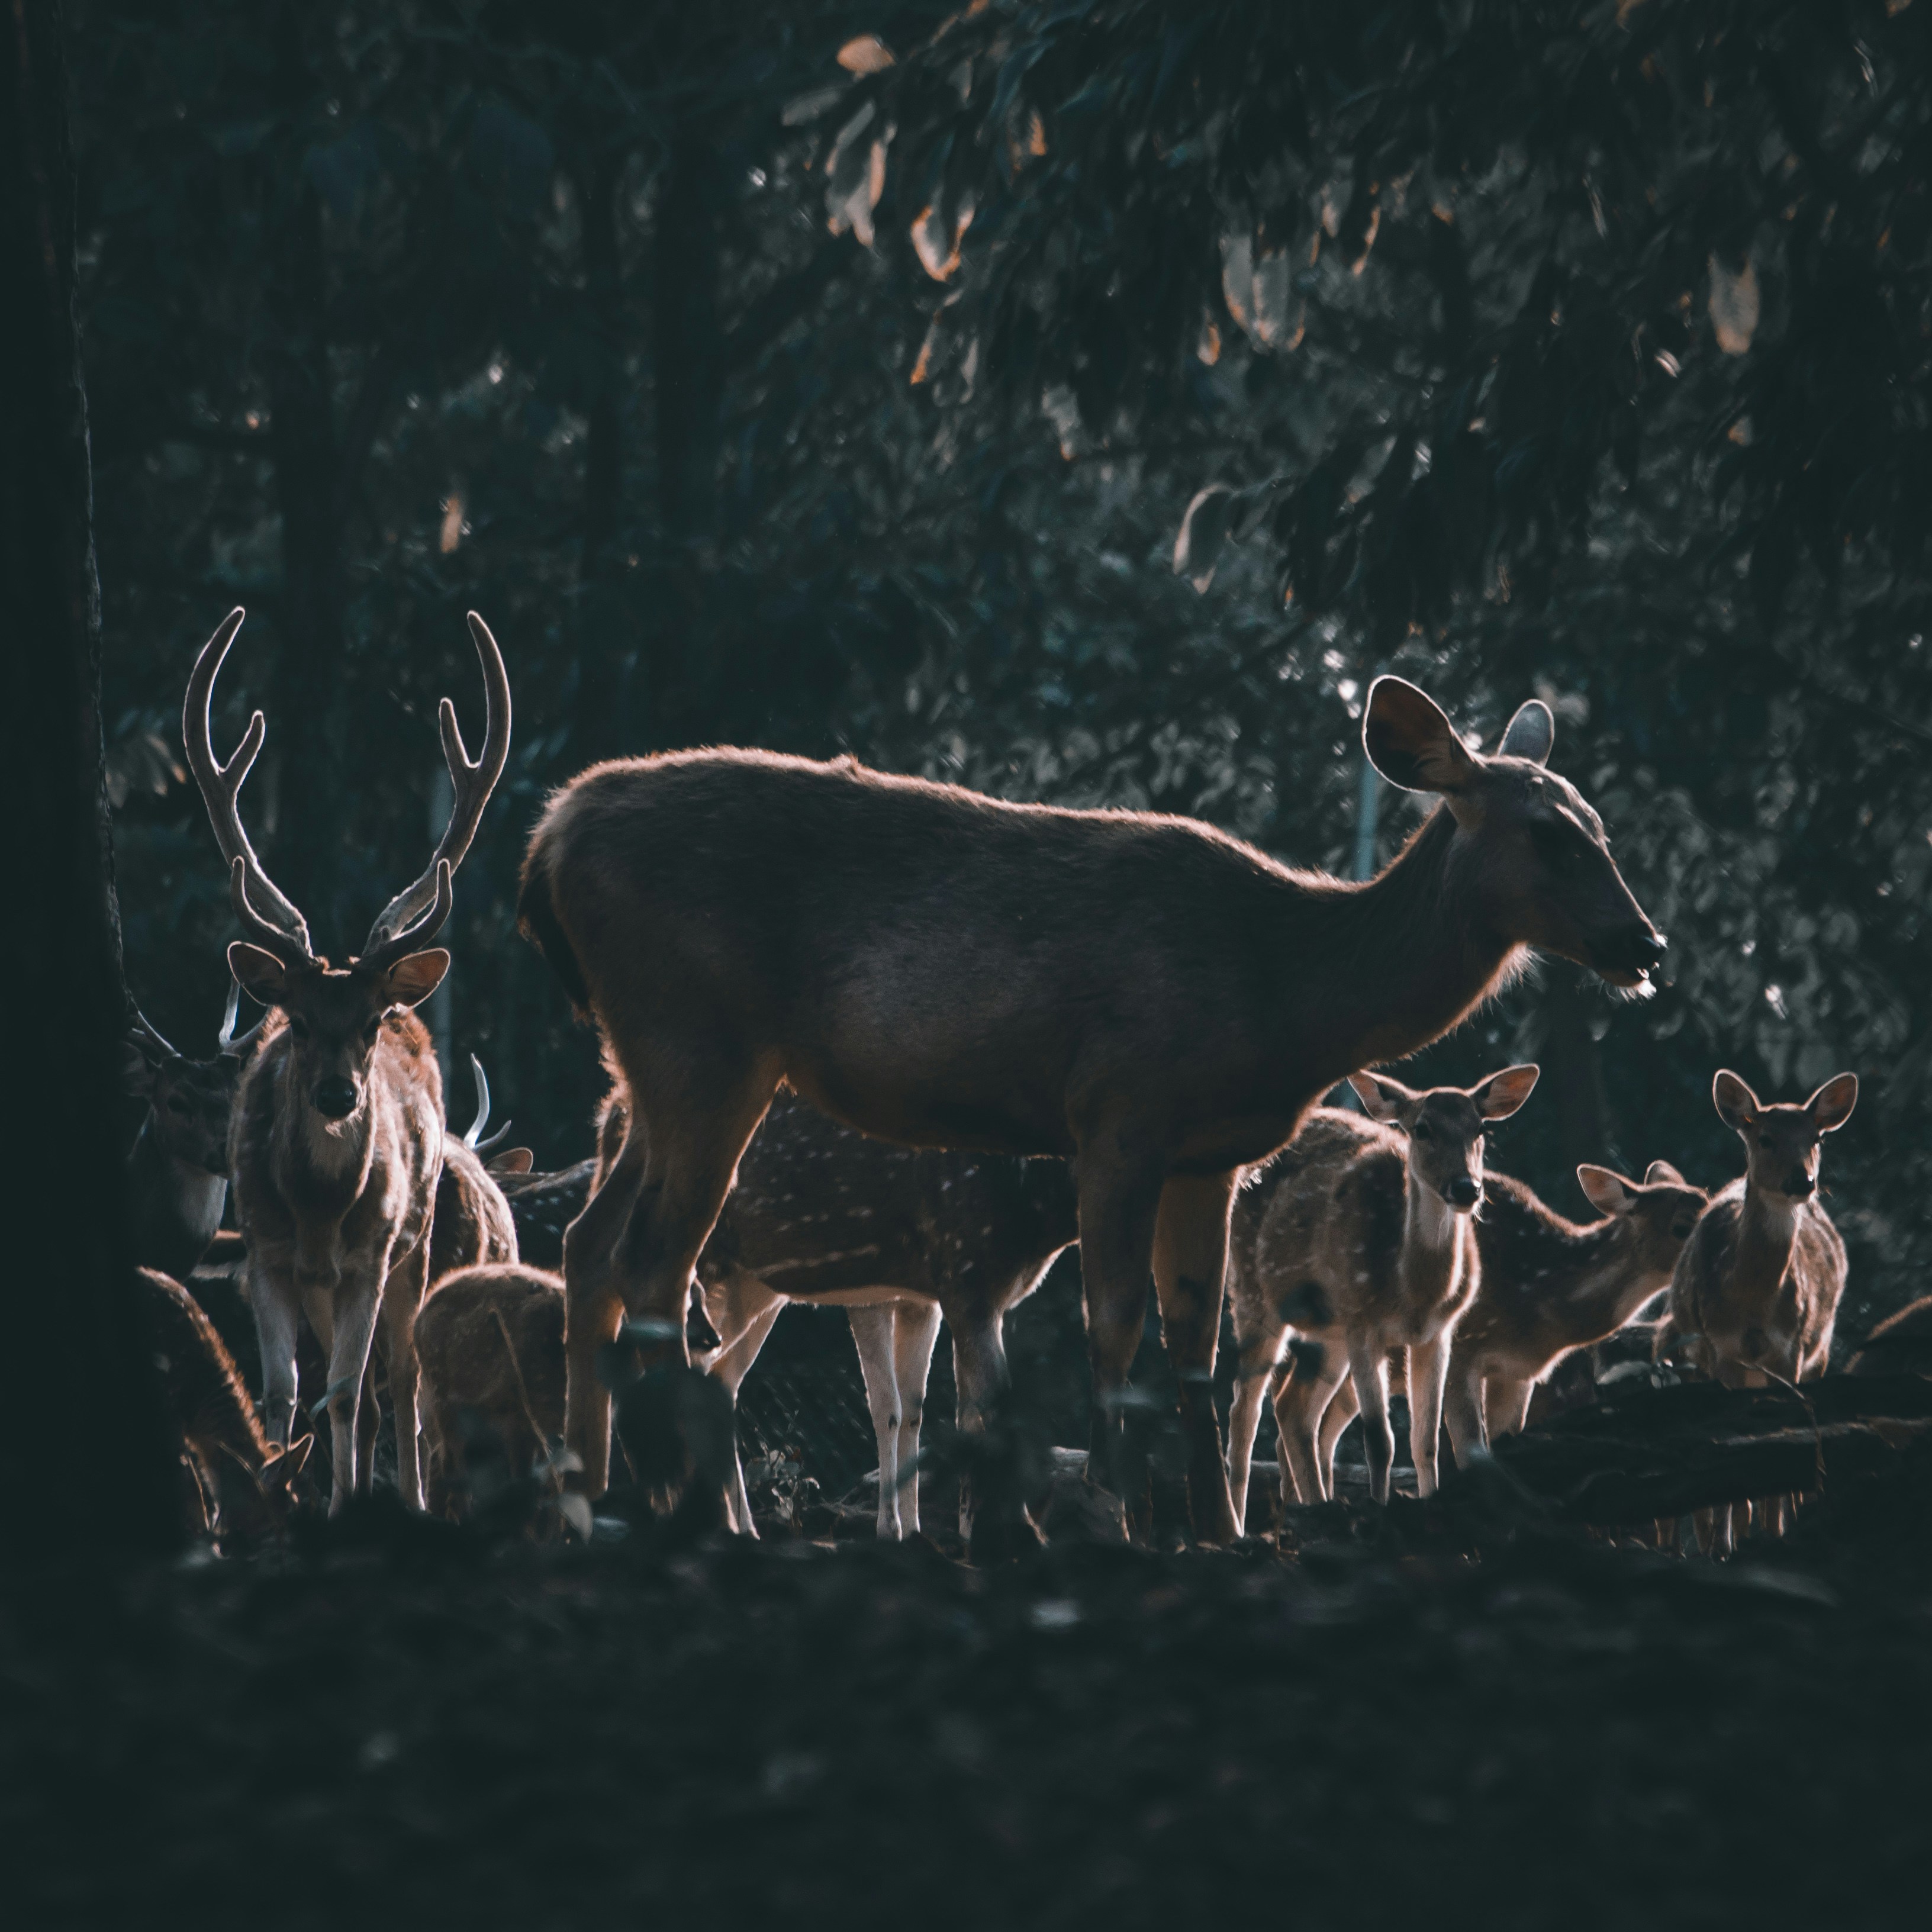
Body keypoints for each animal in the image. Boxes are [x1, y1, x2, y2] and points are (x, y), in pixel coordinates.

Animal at [185, 606, 510, 1512]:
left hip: (418, 1244)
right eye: (294, 1021)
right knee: (362, 1386)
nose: (336, 1096)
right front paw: (277, 1488)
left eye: (369, 1021)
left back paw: (407, 1496)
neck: (320, 1207)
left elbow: (347, 1394)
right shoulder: (263, 1250)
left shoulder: (371, 1253)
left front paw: (339, 1504)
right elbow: (284, 1393)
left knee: (399, 1384)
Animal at [1226, 1065, 1540, 1516]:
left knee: (1292, 1407)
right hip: (1253, 1294)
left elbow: (1425, 1440)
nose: (1466, 1188)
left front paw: (1426, 1500)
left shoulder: (1438, 1333)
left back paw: (1315, 1504)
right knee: (1244, 1414)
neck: (1414, 1295)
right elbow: (1380, 1441)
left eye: (1481, 1128)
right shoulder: (1362, 1323)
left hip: (1328, 1333)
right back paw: (1235, 1521)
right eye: (1422, 1128)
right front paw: (1379, 1505)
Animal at [1667, 1068, 1858, 1553]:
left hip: (1820, 1352)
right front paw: (1724, 1547)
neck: (1752, 1305)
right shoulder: (1721, 1351)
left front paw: (1776, 1533)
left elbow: (1787, 1440)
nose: (1803, 1181)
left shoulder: (1790, 1350)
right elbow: (1728, 1444)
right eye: (1766, 1137)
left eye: (1817, 1138)